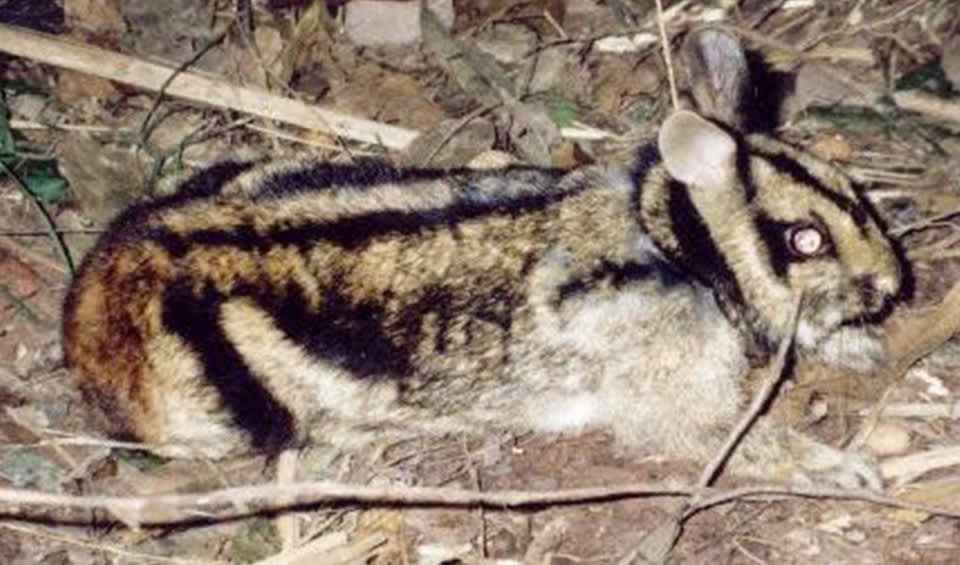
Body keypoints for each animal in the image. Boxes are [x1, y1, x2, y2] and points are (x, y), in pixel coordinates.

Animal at [62, 29, 905, 486]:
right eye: (804, 239)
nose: (894, 281)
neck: (676, 242)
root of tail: (87, 314)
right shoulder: (674, 403)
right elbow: (725, 439)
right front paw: (843, 468)